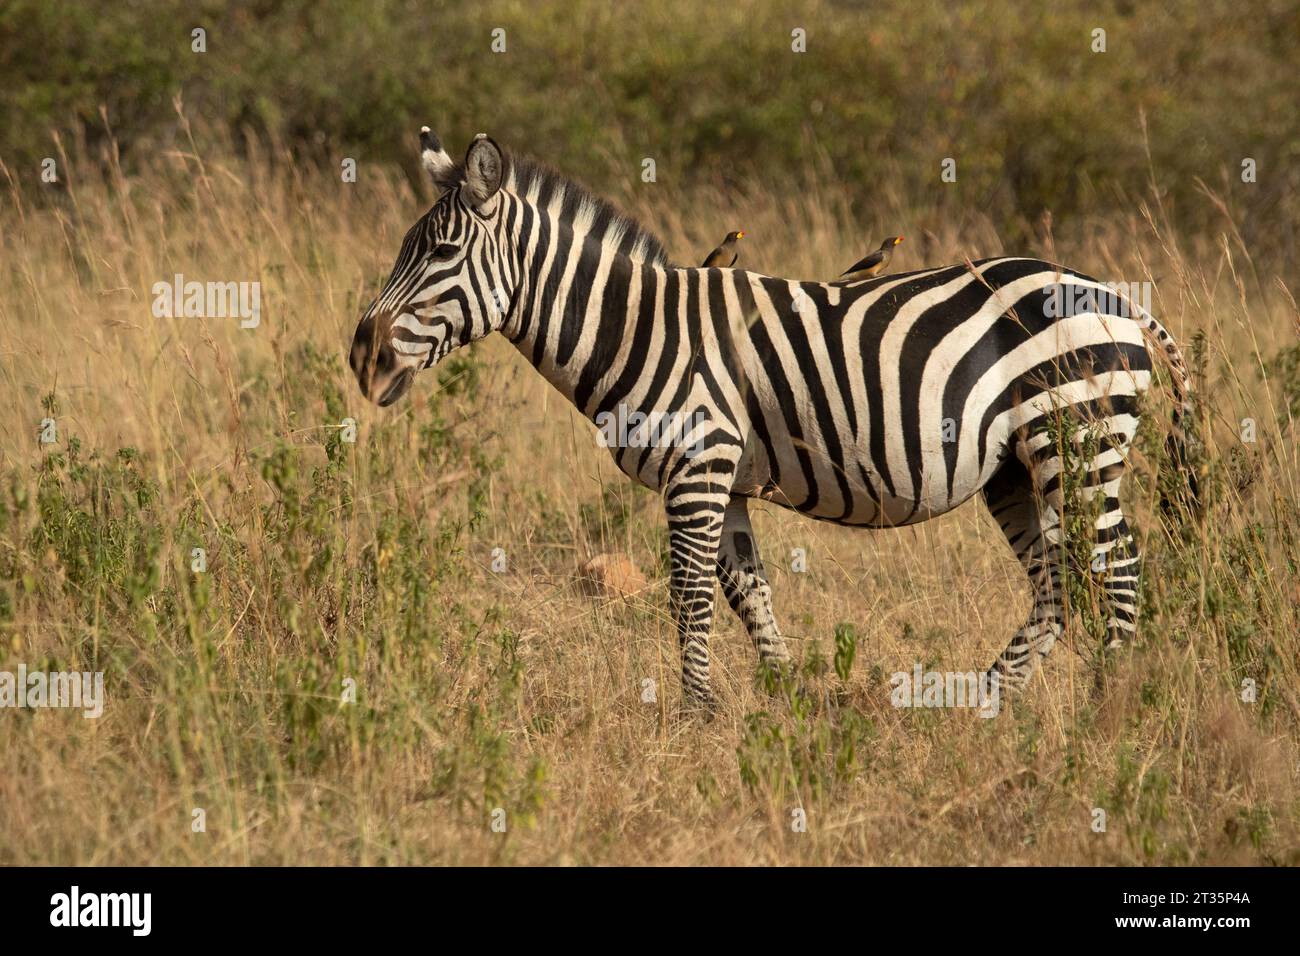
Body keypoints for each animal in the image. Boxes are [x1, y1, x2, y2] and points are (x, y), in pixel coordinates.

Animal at [349, 128, 1196, 713]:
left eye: (442, 251)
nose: (362, 354)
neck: (638, 326)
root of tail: (1119, 297)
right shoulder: (723, 480)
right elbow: (747, 592)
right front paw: (784, 701)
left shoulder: (697, 465)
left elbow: (689, 595)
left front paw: (693, 716)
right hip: (1017, 467)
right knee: (1057, 582)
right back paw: (983, 702)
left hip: (1079, 438)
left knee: (1117, 568)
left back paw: (1107, 711)